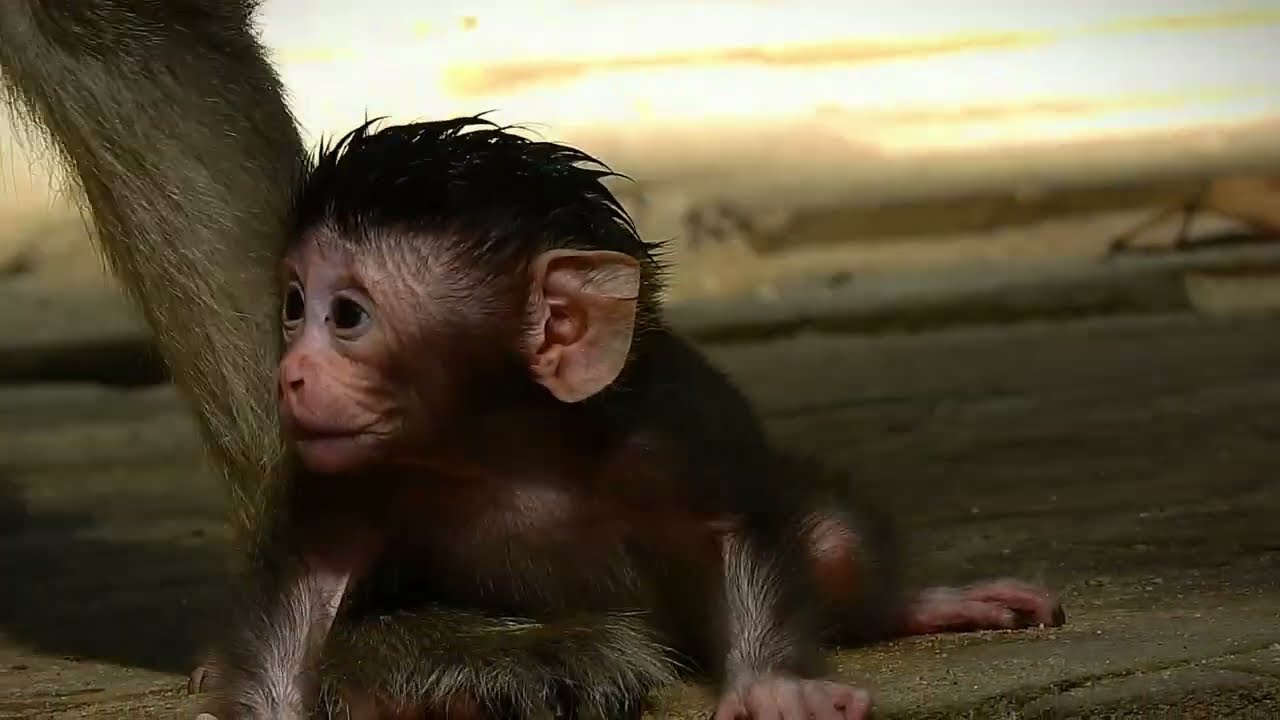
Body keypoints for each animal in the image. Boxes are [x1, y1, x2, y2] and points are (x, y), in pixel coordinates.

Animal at [192, 117, 1066, 720]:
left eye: (347, 317)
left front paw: (775, 686)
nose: (290, 374)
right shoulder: (356, 470)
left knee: (833, 544)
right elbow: (309, 582)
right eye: (293, 306)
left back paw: (913, 605)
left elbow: (734, 526)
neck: (499, 443)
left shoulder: (666, 432)